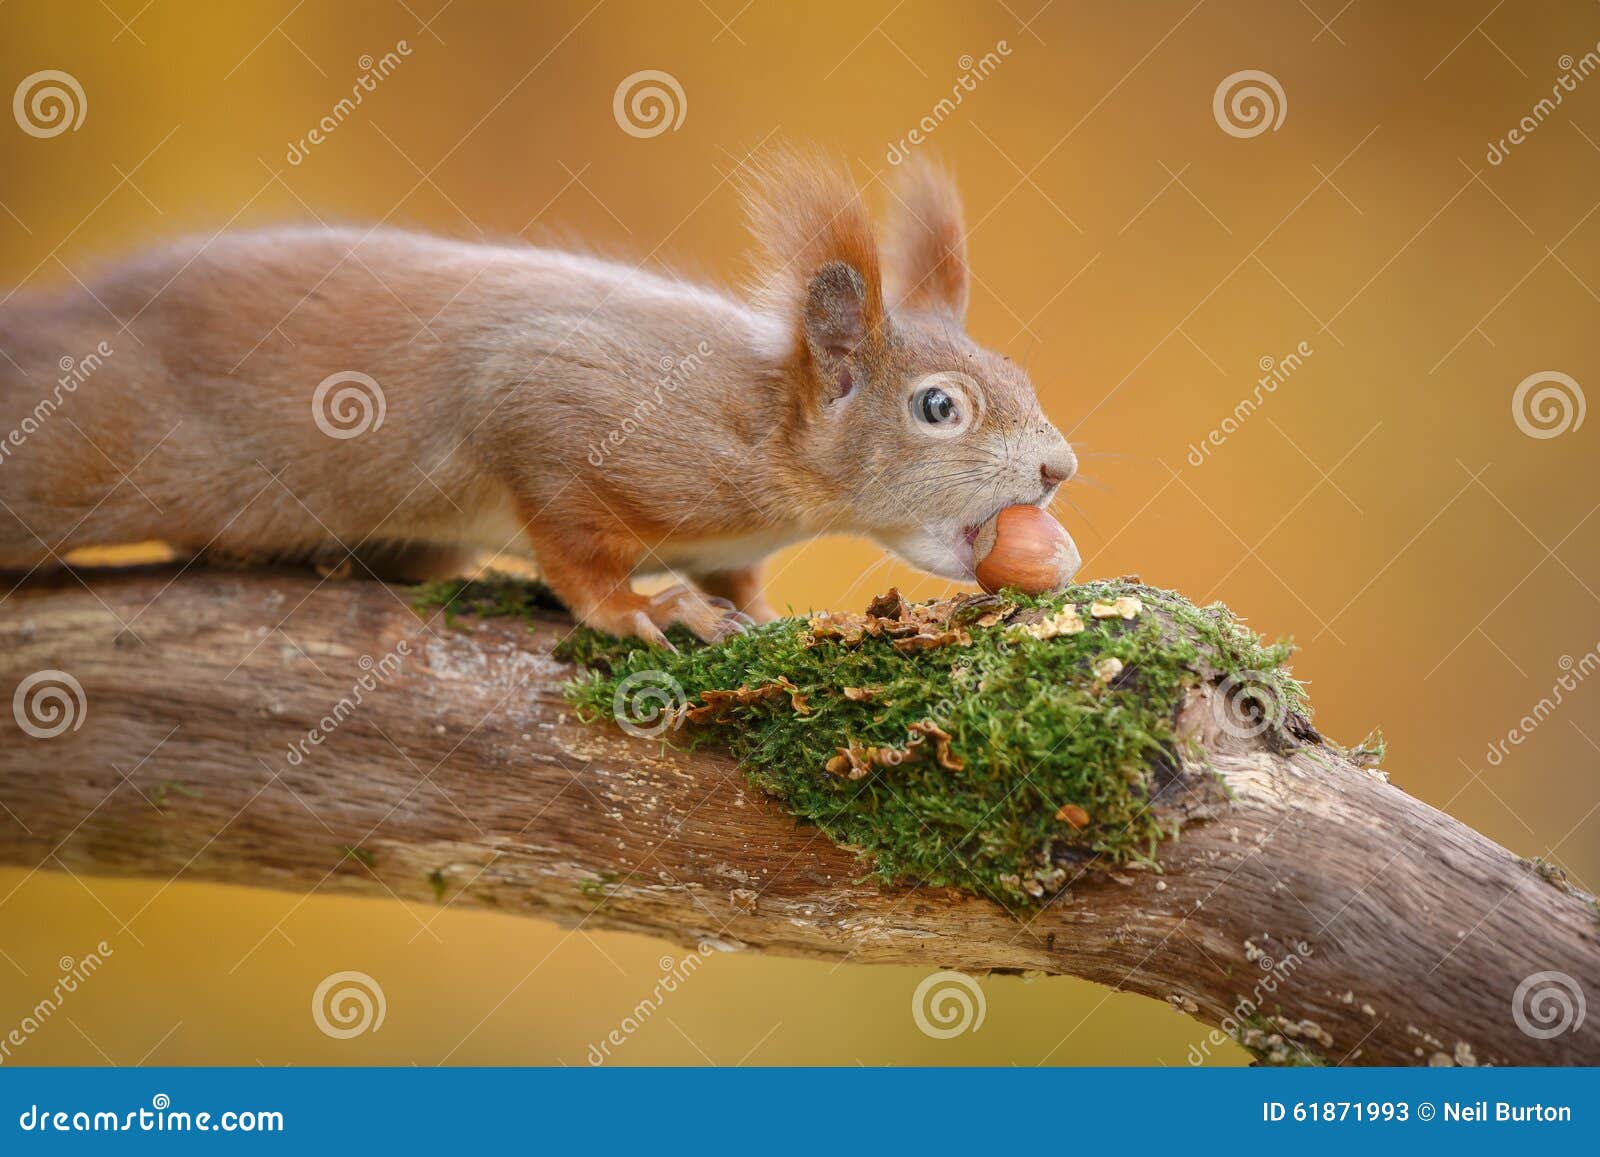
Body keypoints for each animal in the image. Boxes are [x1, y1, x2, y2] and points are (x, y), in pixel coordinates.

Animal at [0, 150, 1077, 646]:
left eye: (1020, 374)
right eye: (938, 407)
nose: (1059, 467)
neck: (763, 422)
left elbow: (739, 577)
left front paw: (755, 606)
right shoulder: (564, 407)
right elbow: (569, 535)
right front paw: (645, 605)